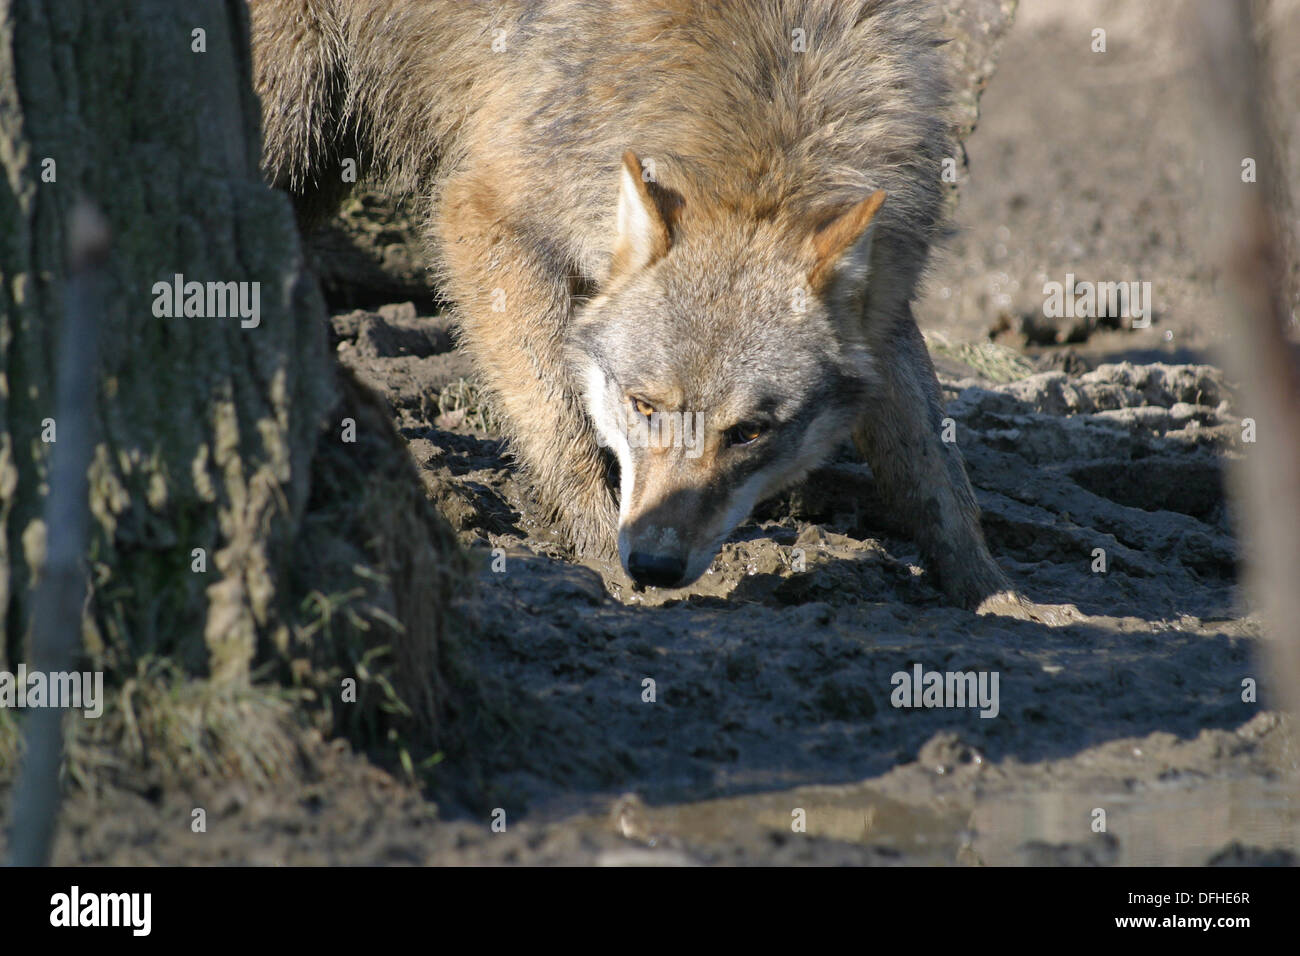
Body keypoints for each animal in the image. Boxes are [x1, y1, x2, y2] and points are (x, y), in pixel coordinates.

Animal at [248, 0, 1071, 621]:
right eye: (645, 407)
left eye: (749, 433)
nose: (654, 563)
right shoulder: (484, 213)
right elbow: (560, 422)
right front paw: (597, 558)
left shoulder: (888, 306)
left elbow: (935, 473)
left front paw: (999, 597)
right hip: (290, 118)